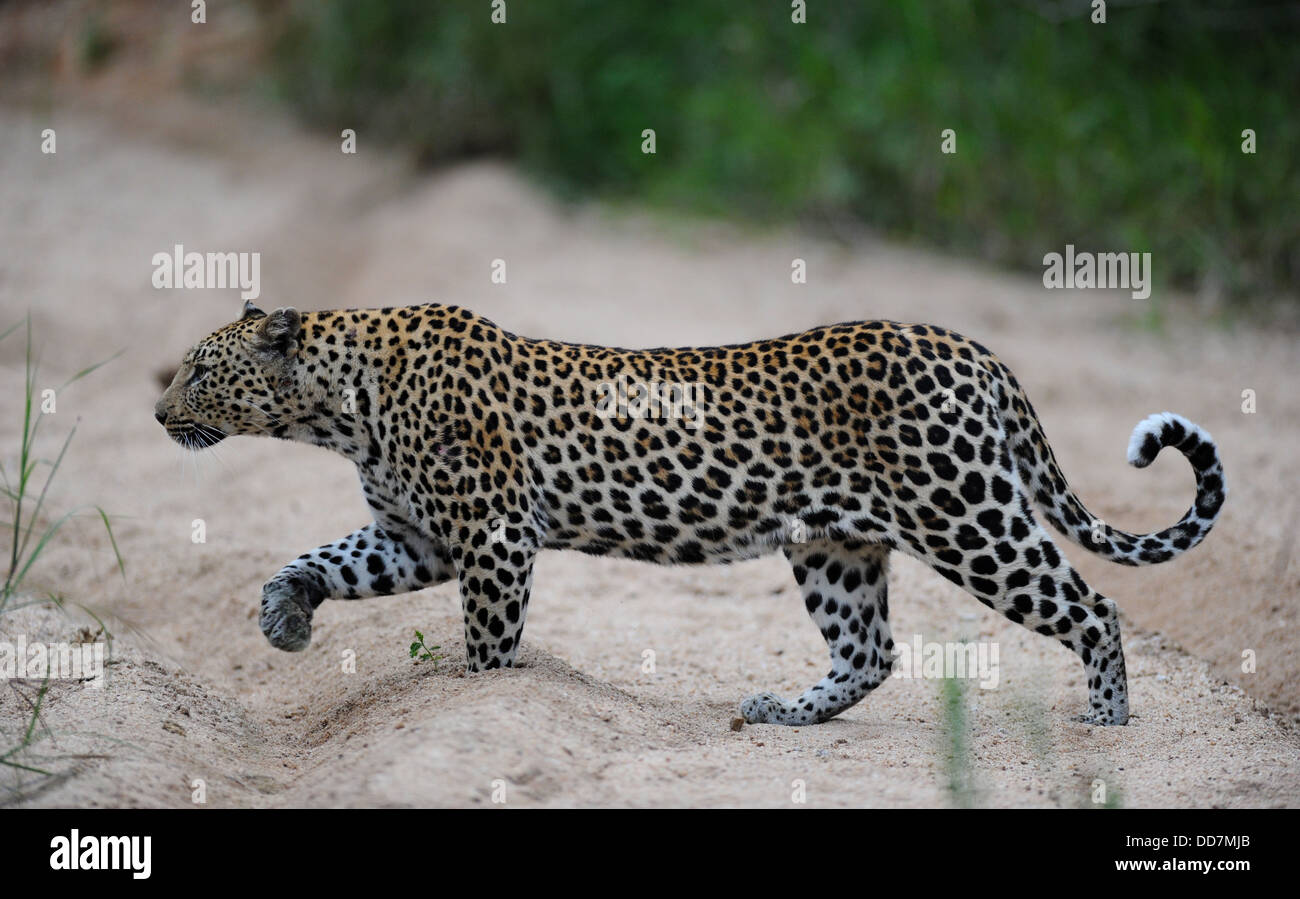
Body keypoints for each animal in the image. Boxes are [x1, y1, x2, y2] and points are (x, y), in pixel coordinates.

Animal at [155, 301, 1226, 726]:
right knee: (870, 651)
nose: (160, 414)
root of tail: (978, 351)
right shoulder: (414, 535)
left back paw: (1107, 723)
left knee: (1094, 608)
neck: (338, 409)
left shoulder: (493, 536)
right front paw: (283, 617)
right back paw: (784, 712)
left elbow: (488, 642)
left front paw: (480, 698)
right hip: (834, 542)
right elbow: (322, 557)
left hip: (966, 515)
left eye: (201, 371)